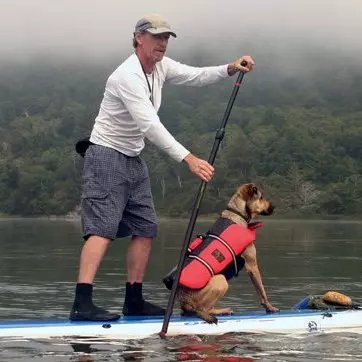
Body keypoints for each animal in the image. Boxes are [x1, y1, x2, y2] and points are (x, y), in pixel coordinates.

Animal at [164, 182, 280, 324]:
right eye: (261, 197)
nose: (274, 207)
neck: (237, 214)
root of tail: (184, 303)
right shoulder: (252, 265)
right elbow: (261, 290)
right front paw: (269, 306)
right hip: (221, 281)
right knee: (205, 309)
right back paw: (223, 310)